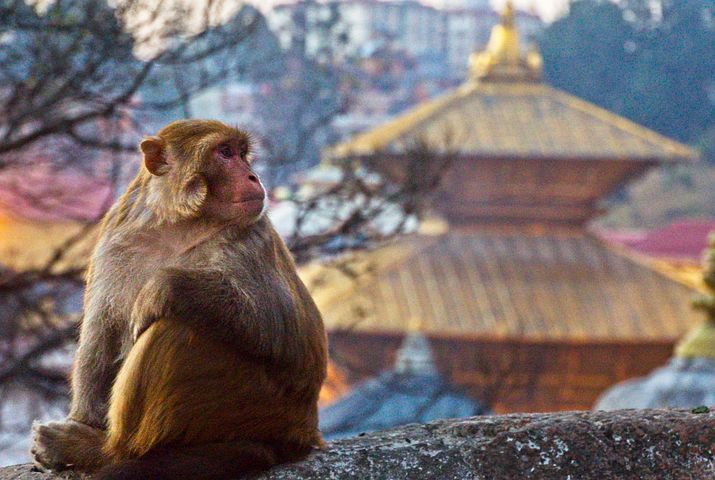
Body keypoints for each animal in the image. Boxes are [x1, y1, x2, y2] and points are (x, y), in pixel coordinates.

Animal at [31, 119, 327, 479]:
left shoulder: (251, 238)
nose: (253, 176)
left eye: (241, 153)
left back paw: (107, 452)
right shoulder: (116, 241)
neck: (181, 224)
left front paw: (160, 287)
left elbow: (281, 330)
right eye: (226, 152)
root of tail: (300, 430)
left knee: (173, 329)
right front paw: (83, 422)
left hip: (259, 404)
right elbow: (102, 333)